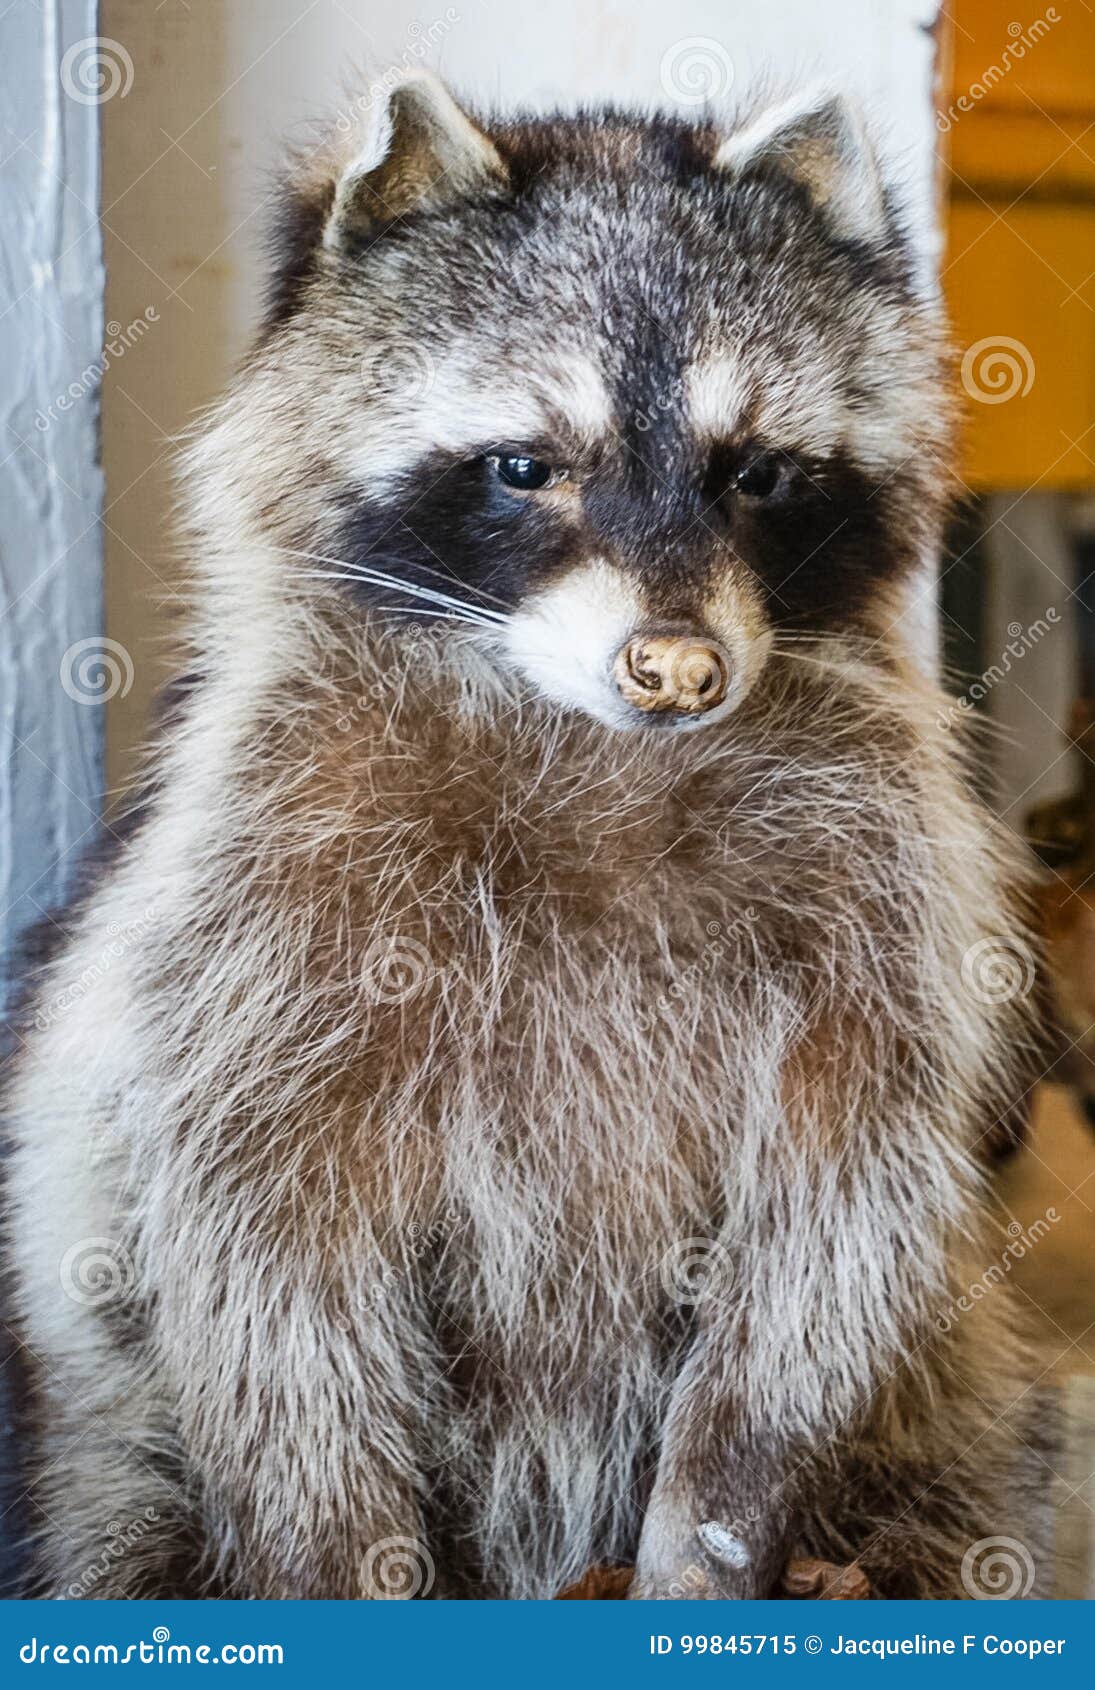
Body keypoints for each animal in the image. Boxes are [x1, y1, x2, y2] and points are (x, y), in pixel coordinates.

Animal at [5, 72, 1052, 1600]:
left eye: (758, 475)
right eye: (523, 467)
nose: (676, 669)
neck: (594, 738)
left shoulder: (882, 880)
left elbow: (830, 1219)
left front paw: (714, 1533)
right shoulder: (253, 894)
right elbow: (261, 1240)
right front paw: (341, 1558)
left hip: (955, 1395)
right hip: (101, 1419)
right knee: (127, 1482)